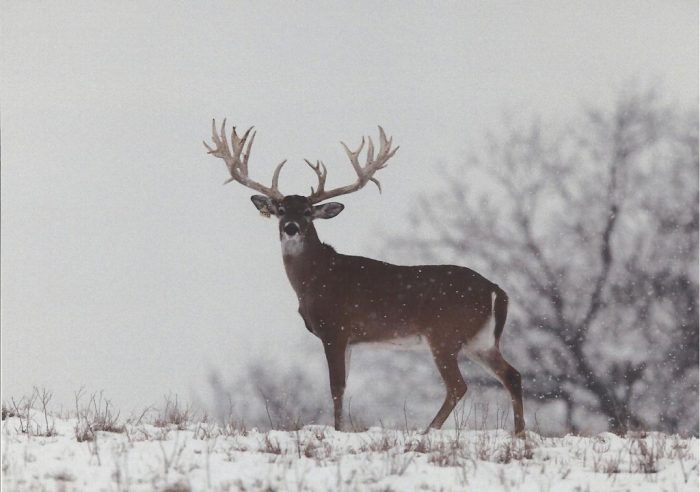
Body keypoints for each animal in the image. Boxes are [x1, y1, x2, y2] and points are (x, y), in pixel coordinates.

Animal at [204, 120, 525, 434]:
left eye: (307, 211)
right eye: (281, 210)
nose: (291, 227)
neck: (315, 279)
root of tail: (497, 291)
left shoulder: (335, 328)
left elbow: (336, 387)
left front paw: (338, 432)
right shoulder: (349, 339)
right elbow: (344, 387)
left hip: (445, 335)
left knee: (459, 385)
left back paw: (428, 431)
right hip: (479, 341)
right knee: (513, 375)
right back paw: (519, 432)